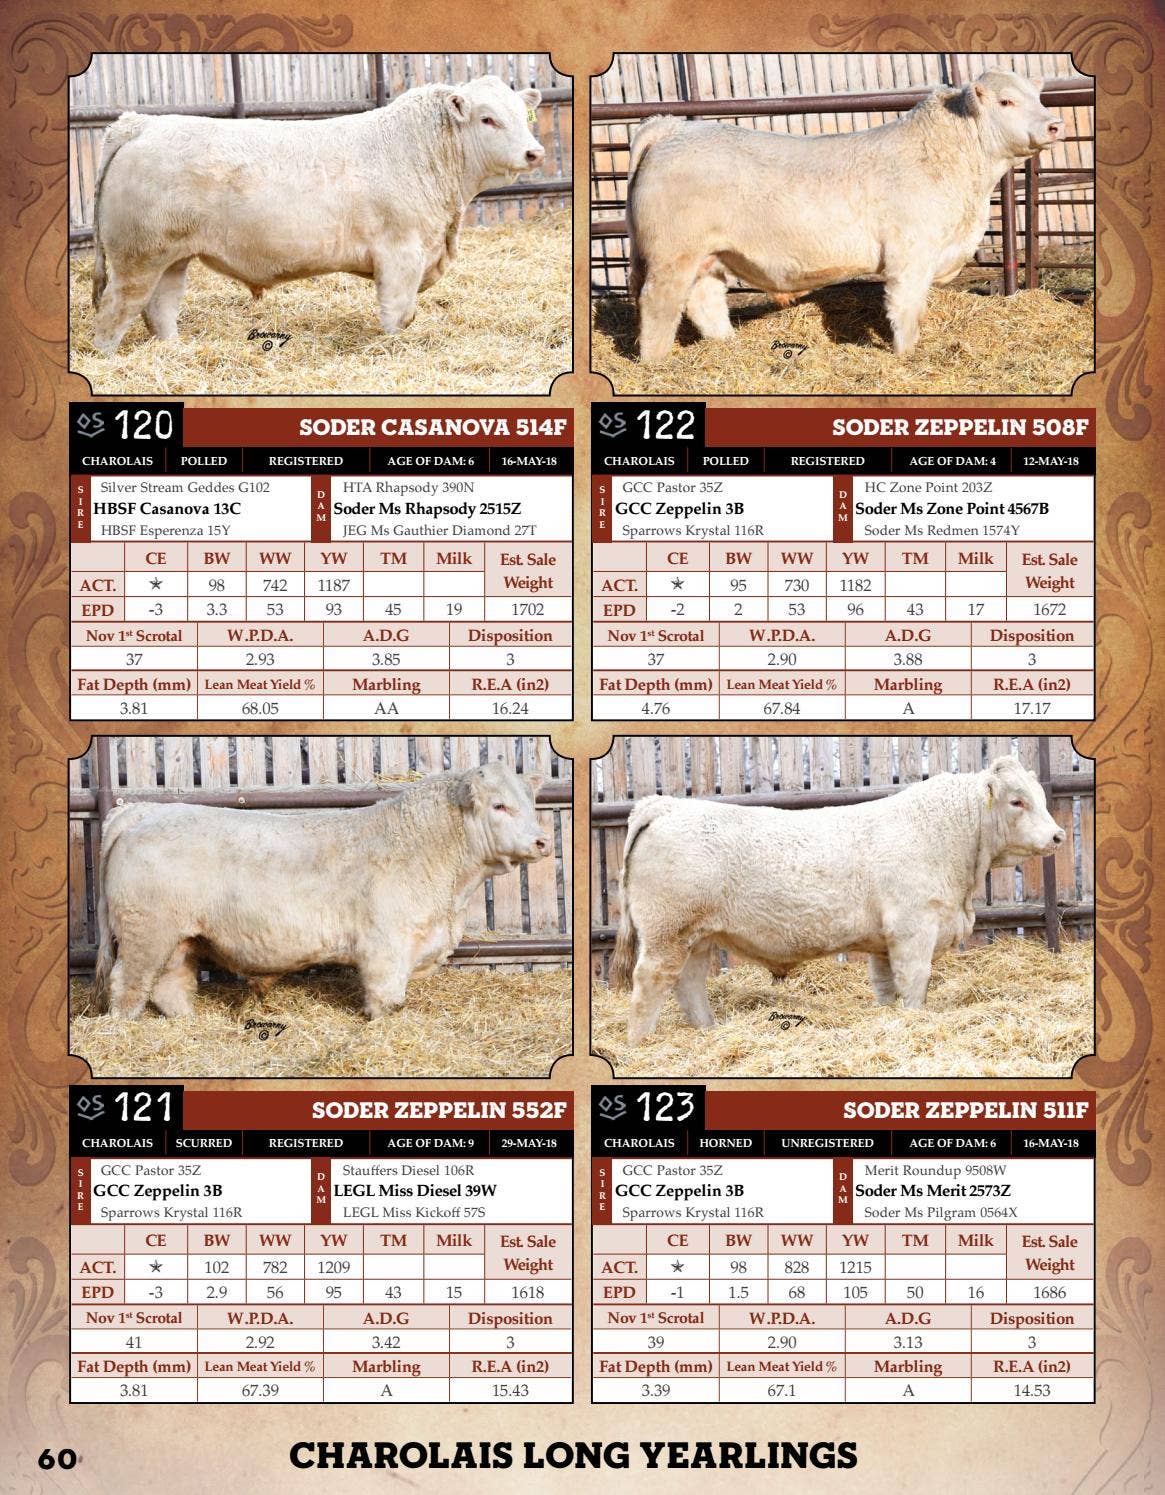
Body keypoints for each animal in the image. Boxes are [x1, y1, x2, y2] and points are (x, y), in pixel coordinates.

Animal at [88, 75, 546, 354]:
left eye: (523, 117)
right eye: (488, 119)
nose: (534, 152)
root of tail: (140, 123)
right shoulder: (400, 254)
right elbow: (398, 312)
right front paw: (391, 346)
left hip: (170, 258)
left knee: (159, 308)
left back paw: (173, 350)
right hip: (137, 259)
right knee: (114, 313)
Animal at [93, 762, 549, 1019]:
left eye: (530, 804)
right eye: (499, 806)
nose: (543, 841)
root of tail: (145, 811)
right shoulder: (386, 947)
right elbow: (386, 997)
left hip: (180, 939)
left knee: (169, 985)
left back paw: (191, 1022)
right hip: (146, 933)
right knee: (127, 984)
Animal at [610, 756, 1064, 1042]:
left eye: (1039, 798)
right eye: (1017, 800)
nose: (1058, 835)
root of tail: (664, 805)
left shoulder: (884, 942)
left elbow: (886, 987)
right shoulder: (913, 930)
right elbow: (914, 984)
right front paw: (914, 1021)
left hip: (697, 936)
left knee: (688, 983)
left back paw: (708, 1031)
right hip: (668, 930)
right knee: (650, 981)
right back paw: (639, 1044)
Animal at [625, 71, 1062, 362]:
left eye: (1038, 98)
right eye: (1006, 101)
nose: (1055, 124)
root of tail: (672, 129)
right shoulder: (910, 253)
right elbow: (906, 308)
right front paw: (905, 354)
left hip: (709, 256)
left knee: (705, 301)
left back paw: (728, 346)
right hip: (672, 254)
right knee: (658, 303)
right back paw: (655, 362)